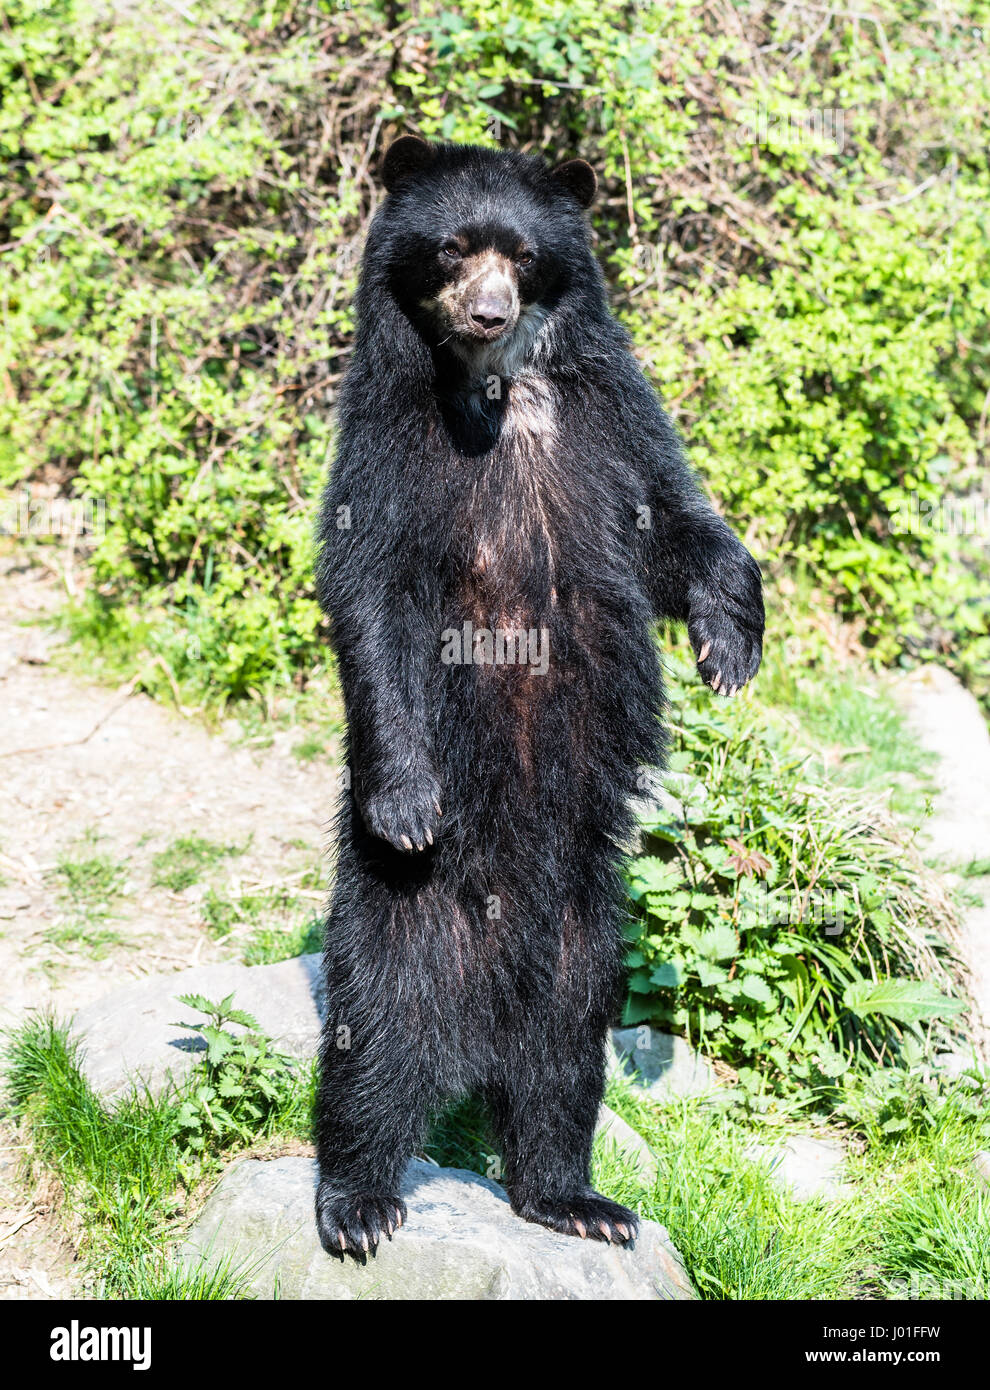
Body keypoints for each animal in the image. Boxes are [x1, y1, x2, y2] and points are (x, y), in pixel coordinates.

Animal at [313, 137, 764, 1255]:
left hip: (583, 930)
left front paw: (729, 649)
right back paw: (358, 1203)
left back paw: (575, 1198)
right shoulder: (390, 440)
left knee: (565, 1059)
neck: (491, 392)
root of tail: (479, 1024)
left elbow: (674, 526)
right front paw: (407, 798)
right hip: (403, 916)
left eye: (520, 254)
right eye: (451, 248)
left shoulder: (611, 417)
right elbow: (370, 590)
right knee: (371, 1035)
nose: (487, 311)